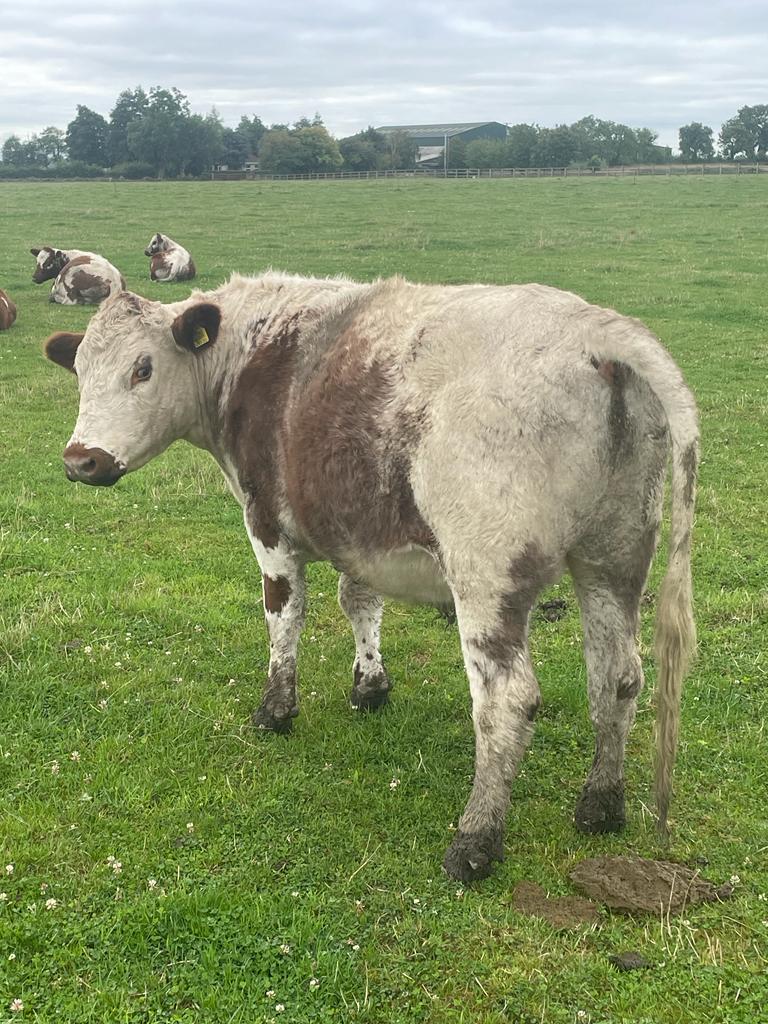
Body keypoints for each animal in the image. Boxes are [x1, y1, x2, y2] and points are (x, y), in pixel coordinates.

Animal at [43, 272, 698, 882]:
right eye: (79, 372)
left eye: (143, 368)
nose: (81, 460)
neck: (253, 354)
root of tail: (596, 331)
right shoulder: (355, 532)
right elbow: (358, 599)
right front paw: (370, 685)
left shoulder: (268, 526)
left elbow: (284, 616)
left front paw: (276, 709)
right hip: (615, 558)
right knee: (617, 679)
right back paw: (601, 804)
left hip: (488, 578)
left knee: (508, 702)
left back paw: (477, 840)